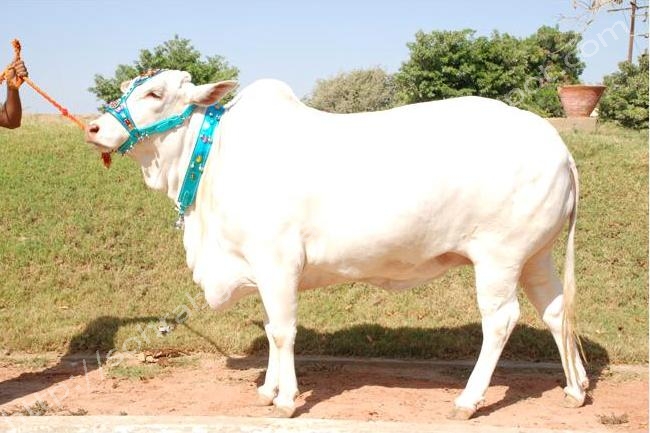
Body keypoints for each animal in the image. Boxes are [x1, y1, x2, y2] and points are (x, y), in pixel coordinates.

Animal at [85, 69, 589, 419]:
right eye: (129, 86)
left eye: (154, 94)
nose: (94, 128)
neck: (214, 161)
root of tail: (559, 147)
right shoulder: (262, 269)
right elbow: (271, 326)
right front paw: (267, 390)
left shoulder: (278, 260)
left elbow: (283, 331)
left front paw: (287, 400)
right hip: (535, 257)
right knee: (555, 312)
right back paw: (575, 388)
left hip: (499, 258)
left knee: (501, 321)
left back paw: (468, 400)